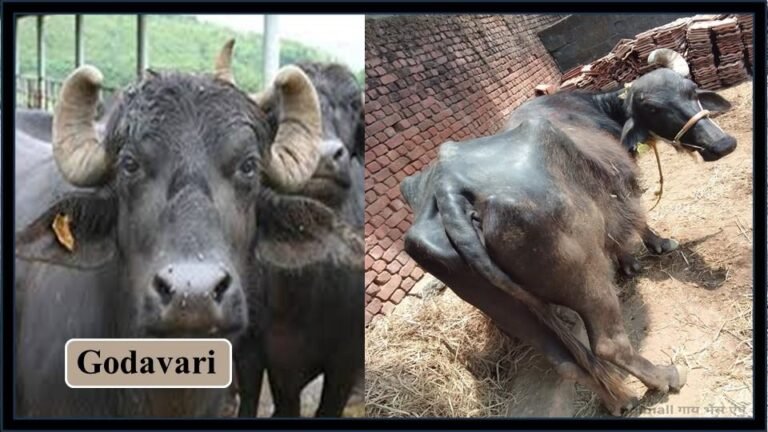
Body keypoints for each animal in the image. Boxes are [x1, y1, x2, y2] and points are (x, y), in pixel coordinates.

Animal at [400, 49, 736, 415]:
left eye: (690, 92)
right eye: (653, 109)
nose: (722, 143)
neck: (595, 110)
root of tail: (449, 189)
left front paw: (628, 261)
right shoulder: (621, 184)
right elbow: (636, 218)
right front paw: (657, 244)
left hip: (508, 309)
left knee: (564, 361)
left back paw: (619, 400)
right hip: (588, 280)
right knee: (608, 345)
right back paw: (665, 377)